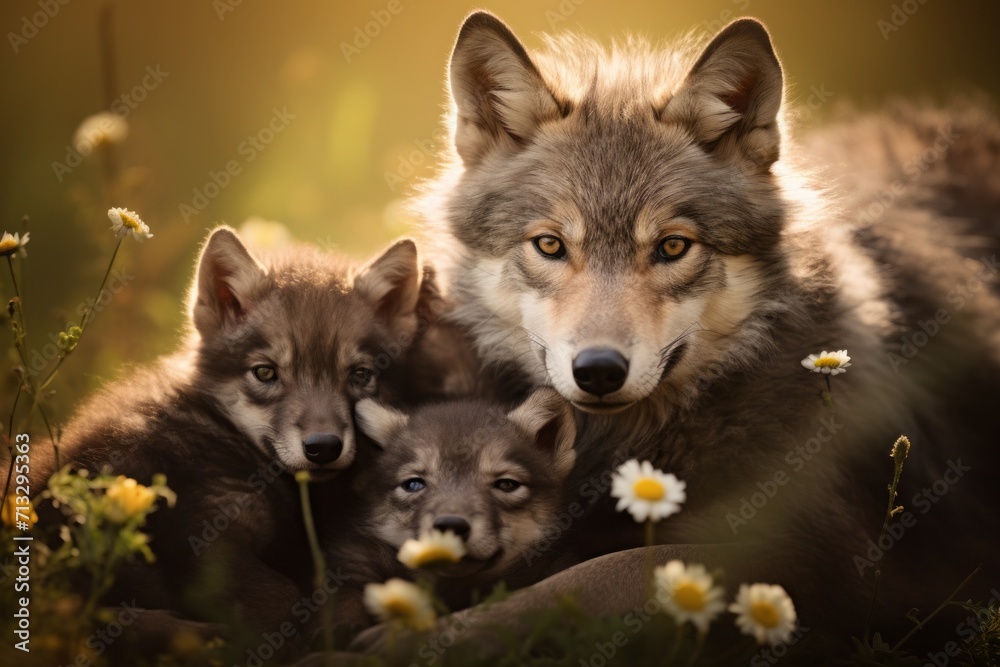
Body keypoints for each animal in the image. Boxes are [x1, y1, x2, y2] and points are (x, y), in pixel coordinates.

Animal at [30, 226, 444, 650]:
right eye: (265, 372)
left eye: (360, 375)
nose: (324, 447)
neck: (221, 433)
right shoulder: (204, 538)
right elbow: (283, 599)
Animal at [381, 11, 1000, 653]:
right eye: (550, 245)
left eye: (673, 246)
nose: (598, 371)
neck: (635, 445)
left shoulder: (821, 558)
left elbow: (601, 576)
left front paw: (414, 639)